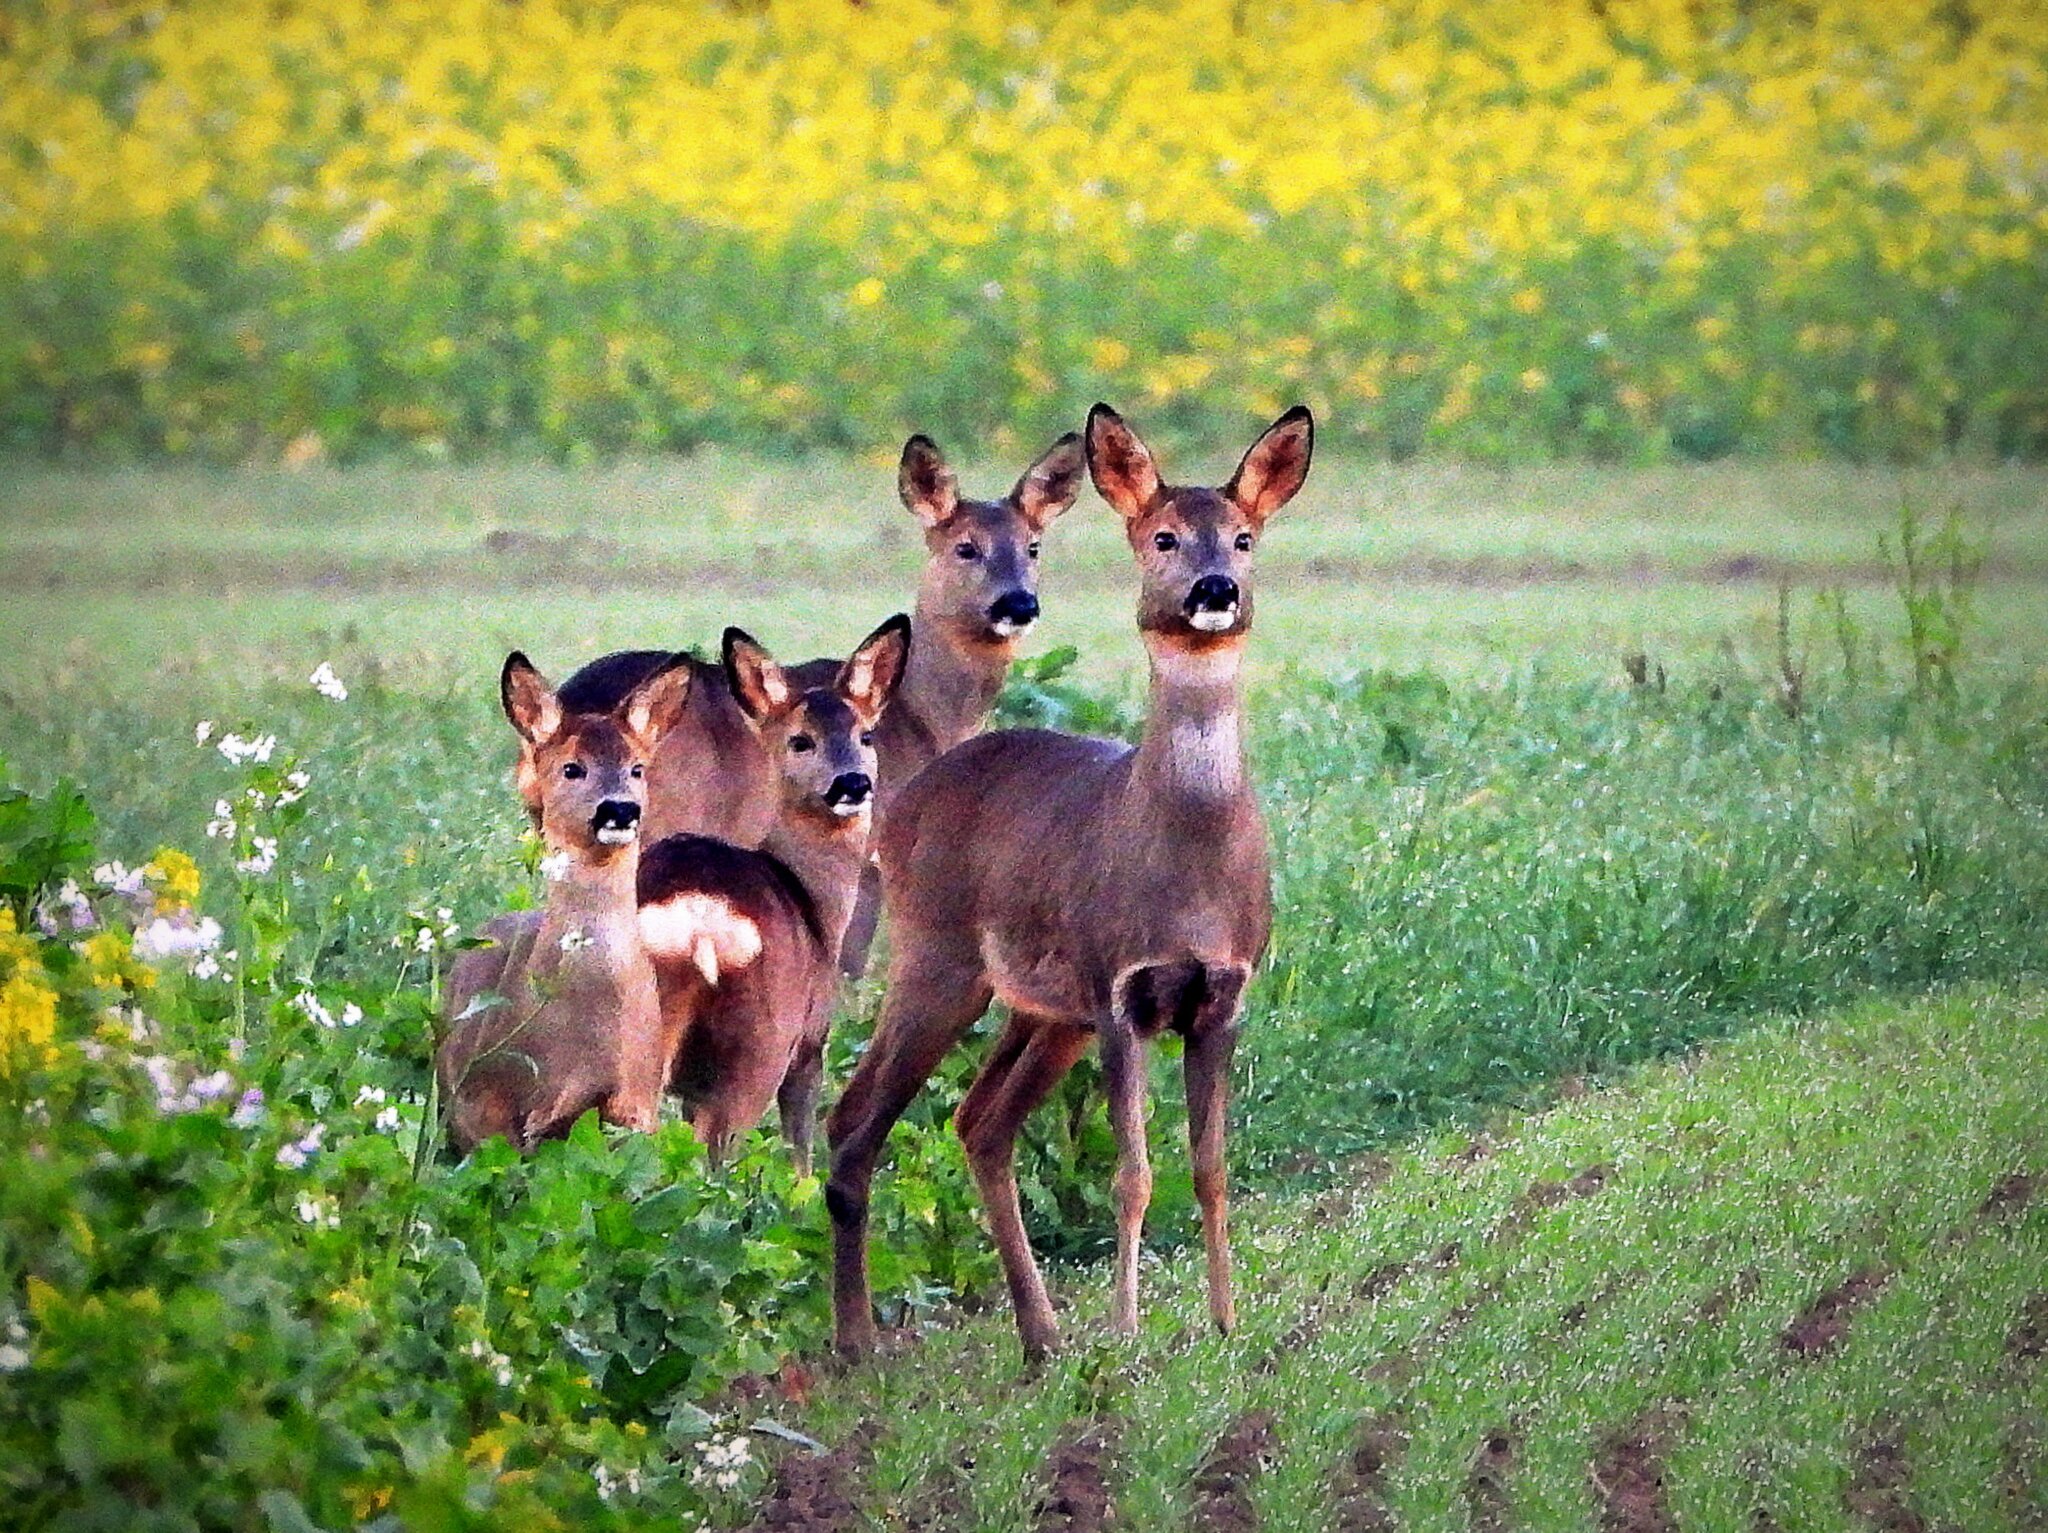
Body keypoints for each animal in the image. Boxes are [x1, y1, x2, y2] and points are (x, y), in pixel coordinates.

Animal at [636, 614, 910, 1171]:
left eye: (866, 734)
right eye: (800, 740)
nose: (852, 783)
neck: (813, 900)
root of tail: (694, 913)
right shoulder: (810, 1041)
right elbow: (800, 1149)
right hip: (757, 1042)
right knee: (715, 1150)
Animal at [825, 403, 1314, 1364]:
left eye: (1244, 537)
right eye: (1162, 536)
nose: (1215, 588)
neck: (1189, 866)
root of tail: (907, 795)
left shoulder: (1222, 992)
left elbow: (1211, 1168)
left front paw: (1226, 1321)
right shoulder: (1117, 985)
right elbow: (1133, 1171)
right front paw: (1126, 1331)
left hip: (1044, 1010)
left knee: (980, 1120)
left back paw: (1041, 1333)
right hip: (940, 958)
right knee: (853, 1118)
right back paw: (858, 1345)